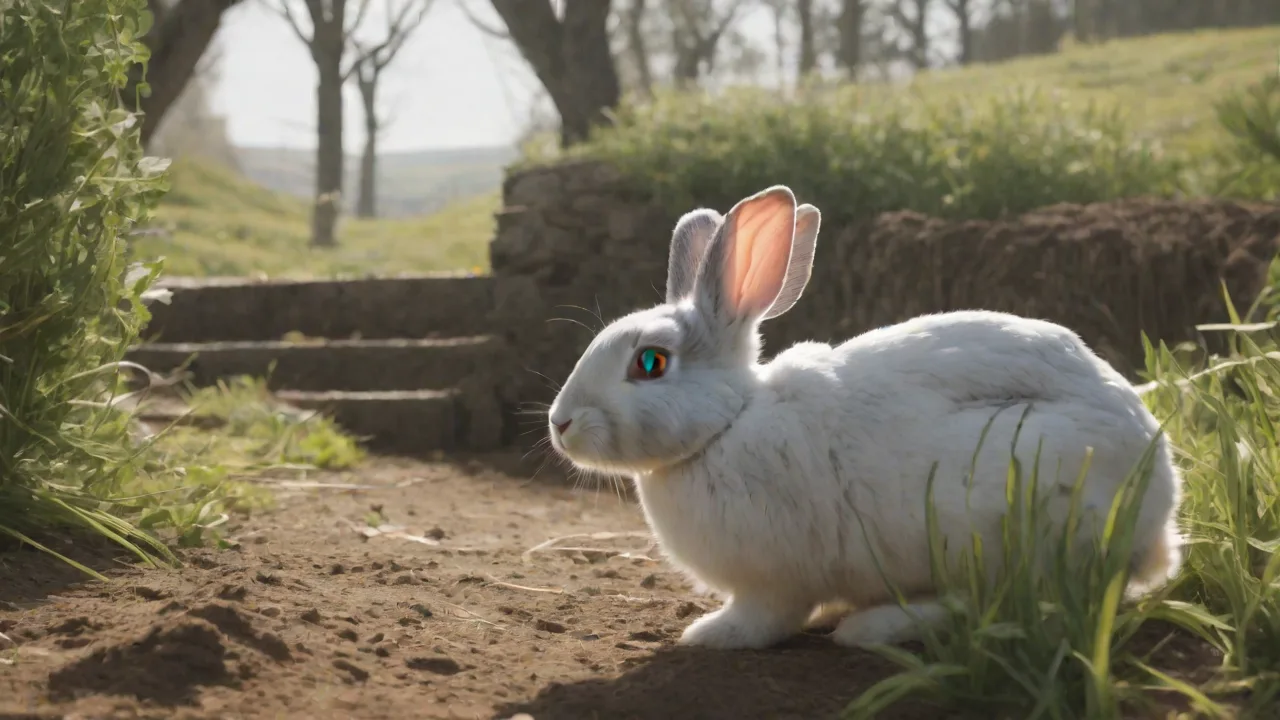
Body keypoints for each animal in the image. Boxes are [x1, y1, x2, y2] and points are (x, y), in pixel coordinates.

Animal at [546, 185, 1184, 650]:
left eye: (650, 363)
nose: (560, 423)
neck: (729, 424)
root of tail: (1155, 516)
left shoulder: (774, 583)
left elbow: (763, 618)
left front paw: (707, 635)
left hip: (1000, 516)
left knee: (1008, 604)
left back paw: (873, 626)